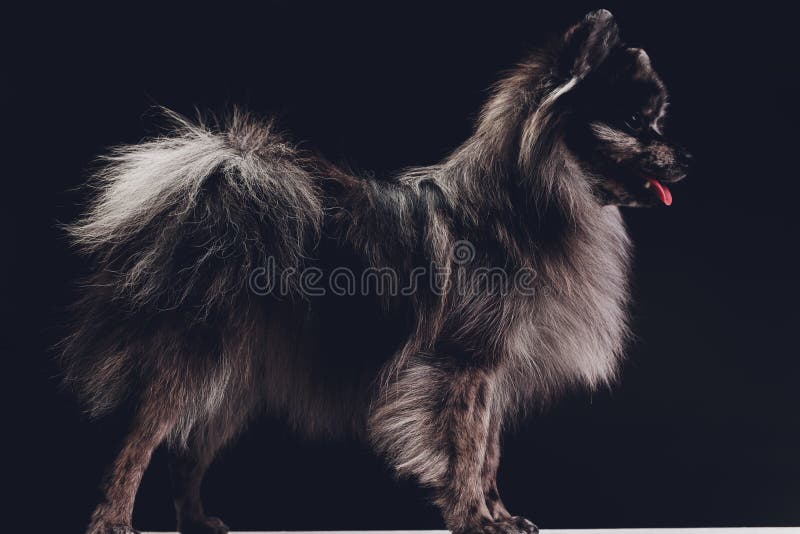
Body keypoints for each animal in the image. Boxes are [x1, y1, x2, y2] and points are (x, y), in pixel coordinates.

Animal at [62, 10, 690, 534]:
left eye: (658, 120)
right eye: (636, 122)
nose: (687, 156)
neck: (526, 203)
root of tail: (221, 190)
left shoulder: (491, 372)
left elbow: (488, 454)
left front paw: (499, 515)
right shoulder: (461, 368)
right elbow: (465, 452)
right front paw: (474, 520)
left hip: (232, 381)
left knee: (186, 454)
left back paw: (196, 522)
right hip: (193, 360)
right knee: (138, 443)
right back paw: (113, 521)